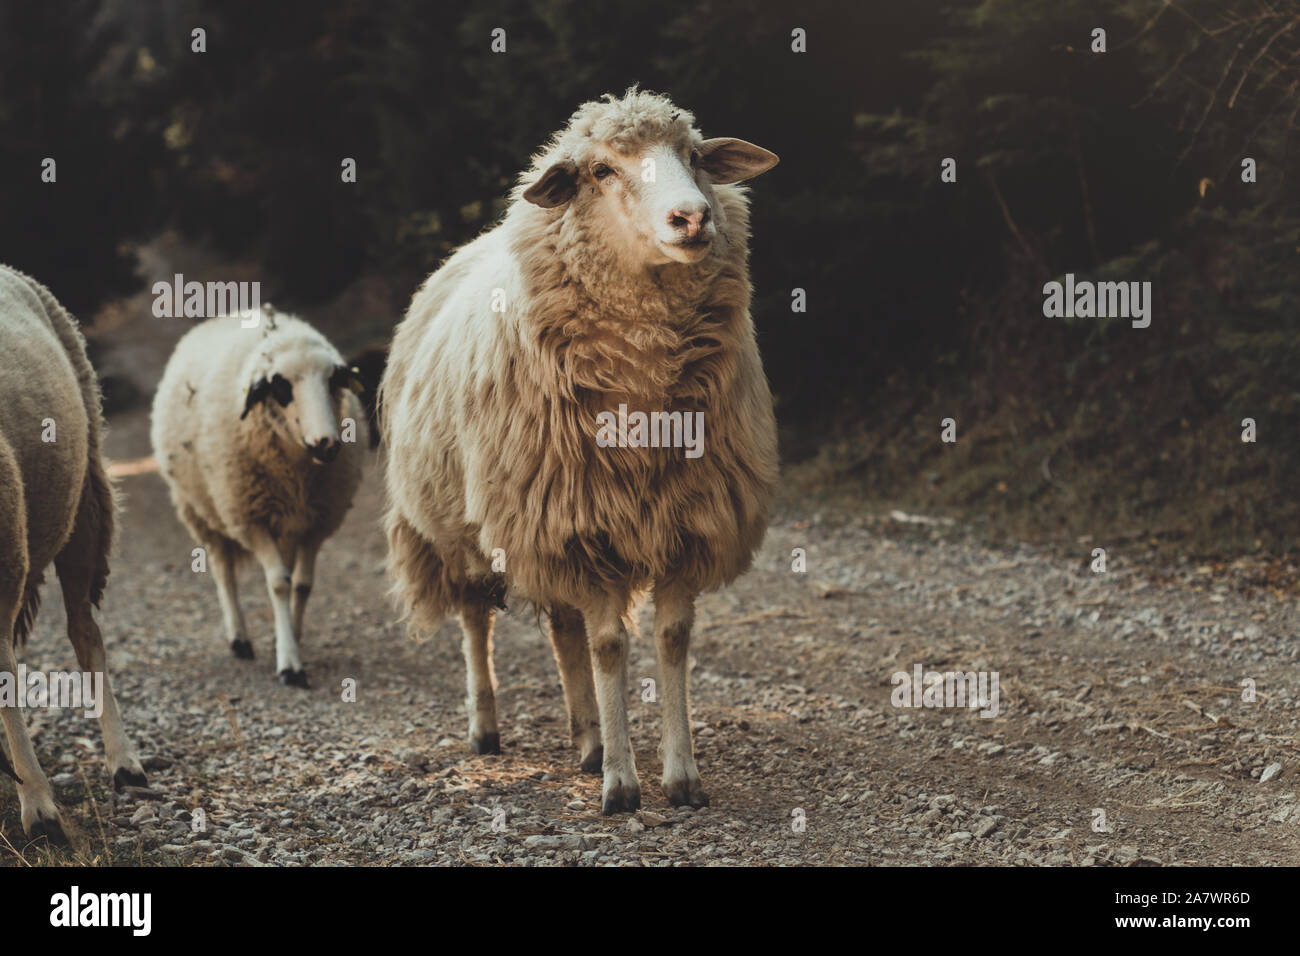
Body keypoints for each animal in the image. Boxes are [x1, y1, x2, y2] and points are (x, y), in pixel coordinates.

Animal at [149, 308, 369, 686]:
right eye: (281, 387)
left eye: (333, 381)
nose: (326, 444)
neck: (298, 471)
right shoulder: (251, 519)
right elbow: (279, 583)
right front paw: (289, 663)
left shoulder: (317, 522)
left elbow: (302, 584)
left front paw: (292, 635)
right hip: (202, 511)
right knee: (224, 572)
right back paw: (239, 638)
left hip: (288, 524)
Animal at [379, 87, 774, 816]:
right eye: (600, 170)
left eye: (694, 155)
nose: (693, 217)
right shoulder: (584, 528)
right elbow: (611, 645)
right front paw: (623, 784)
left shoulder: (680, 521)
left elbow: (669, 641)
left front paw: (680, 775)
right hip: (466, 528)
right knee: (476, 619)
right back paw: (488, 728)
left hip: (544, 520)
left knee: (564, 631)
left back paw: (587, 741)